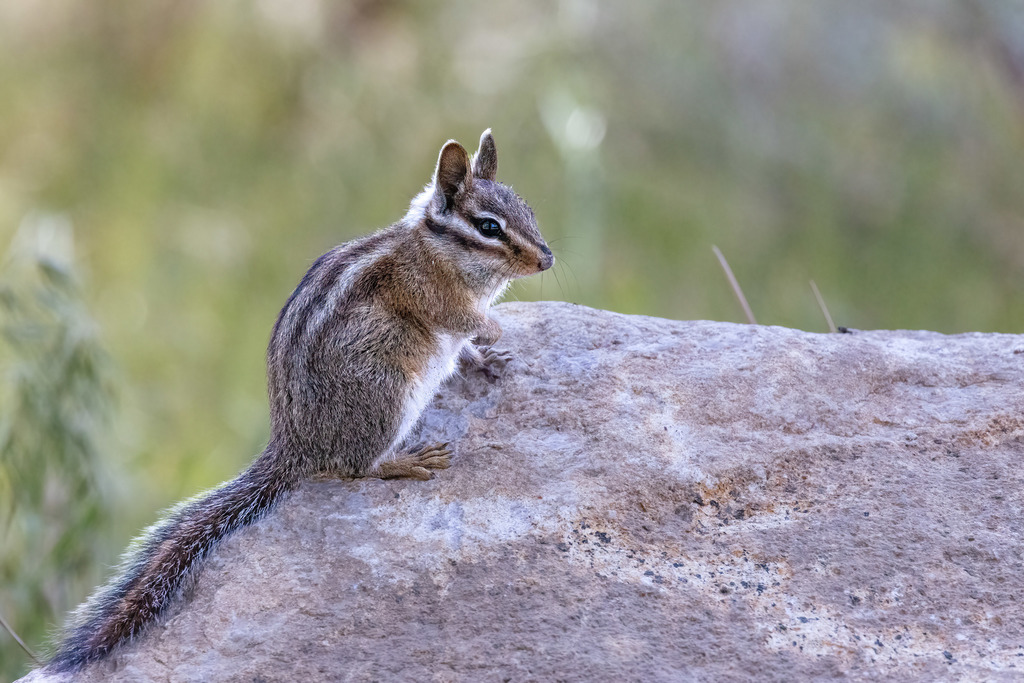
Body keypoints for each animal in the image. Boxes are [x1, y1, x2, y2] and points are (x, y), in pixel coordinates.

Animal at [44, 129, 554, 672]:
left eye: (529, 210)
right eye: (488, 227)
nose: (547, 259)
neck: (437, 249)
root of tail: (293, 442)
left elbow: (467, 344)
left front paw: (487, 359)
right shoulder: (434, 297)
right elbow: (464, 319)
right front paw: (492, 332)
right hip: (388, 393)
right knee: (356, 468)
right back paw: (407, 460)